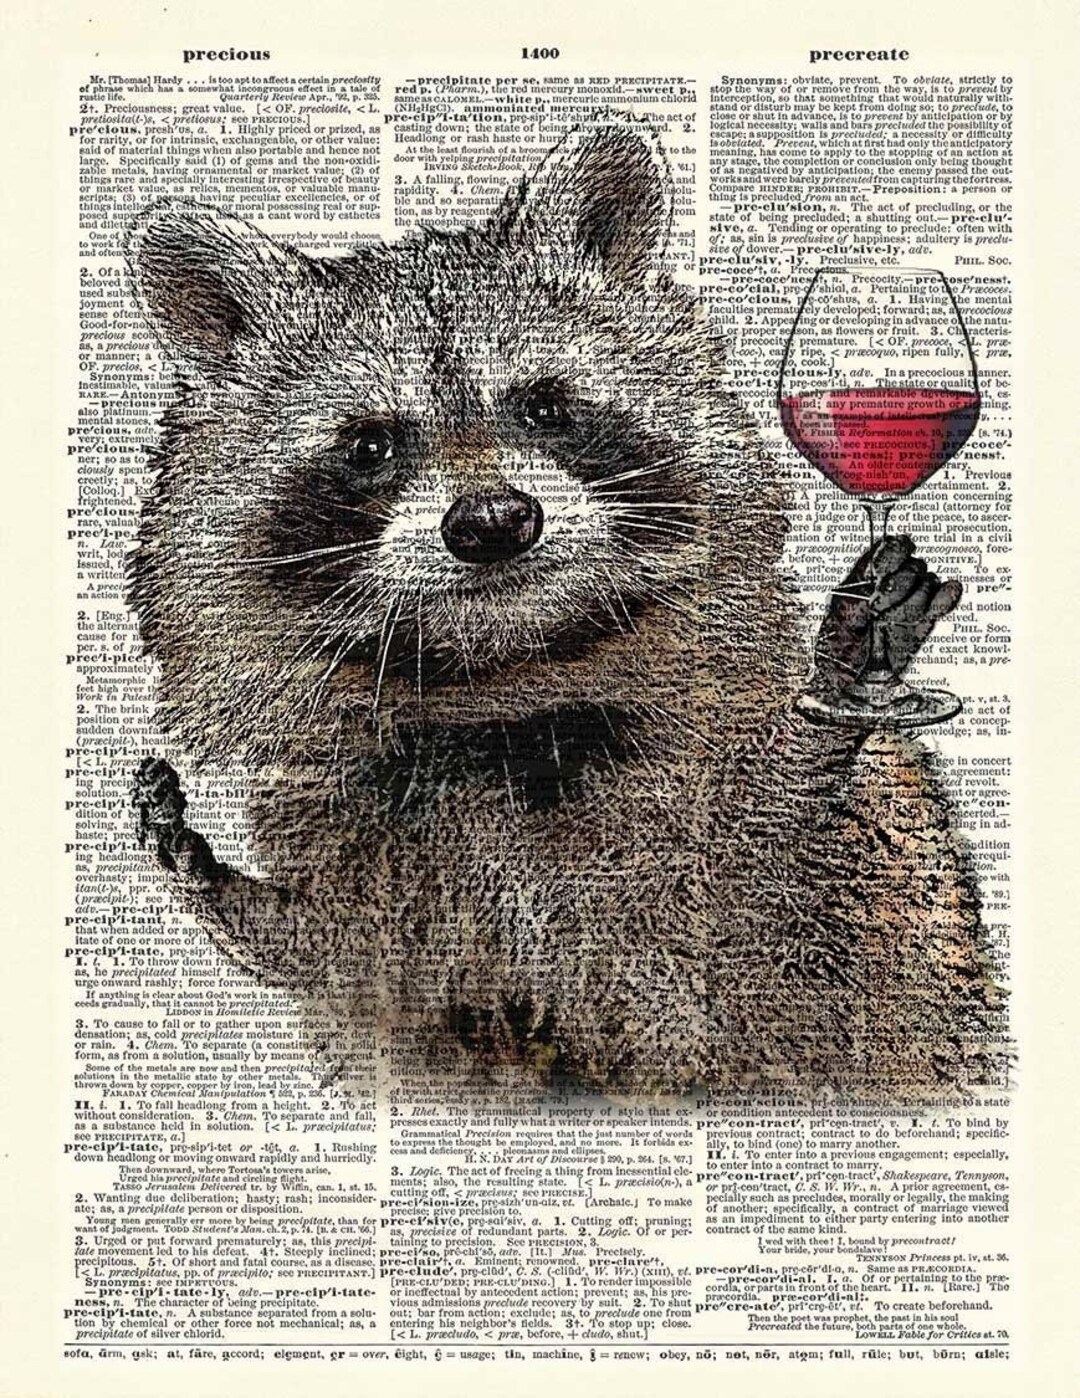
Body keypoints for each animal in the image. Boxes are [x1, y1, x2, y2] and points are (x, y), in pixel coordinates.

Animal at [126, 122, 1004, 1100]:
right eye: (368, 445)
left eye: (545, 405)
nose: (492, 522)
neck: (509, 684)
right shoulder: (364, 829)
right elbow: (353, 956)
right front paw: (242, 905)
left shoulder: (790, 860)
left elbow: (775, 884)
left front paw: (819, 736)